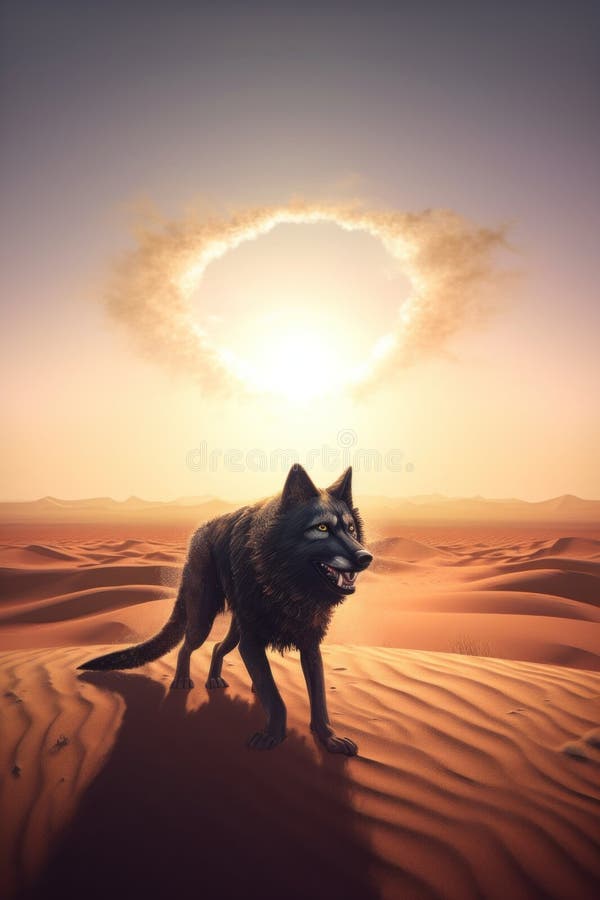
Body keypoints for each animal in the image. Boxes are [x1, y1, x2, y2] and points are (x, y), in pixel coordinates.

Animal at [79, 465, 372, 754]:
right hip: (204, 620)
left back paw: (215, 680)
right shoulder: (251, 644)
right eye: (322, 527)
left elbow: (319, 699)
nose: (365, 557)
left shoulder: (309, 646)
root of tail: (198, 533)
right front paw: (273, 736)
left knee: (219, 647)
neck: (287, 586)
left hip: (235, 631)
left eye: (351, 529)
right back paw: (182, 680)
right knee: (186, 646)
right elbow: (275, 699)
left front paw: (329, 738)